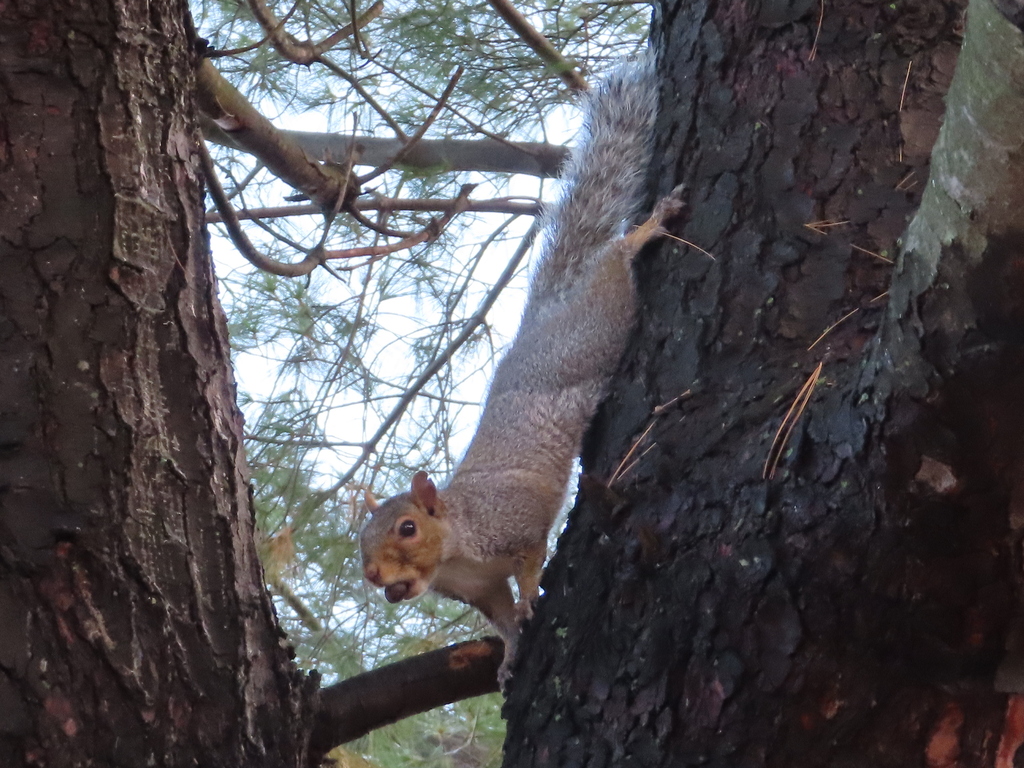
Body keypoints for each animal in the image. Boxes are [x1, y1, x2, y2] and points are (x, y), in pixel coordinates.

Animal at [360, 51, 681, 684]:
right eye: (359, 540)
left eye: (408, 528)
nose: (373, 576)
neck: (457, 547)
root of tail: (540, 322)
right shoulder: (479, 590)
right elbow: (500, 618)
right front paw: (508, 656)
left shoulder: (516, 520)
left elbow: (532, 560)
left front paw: (533, 597)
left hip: (593, 329)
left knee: (612, 267)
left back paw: (643, 232)